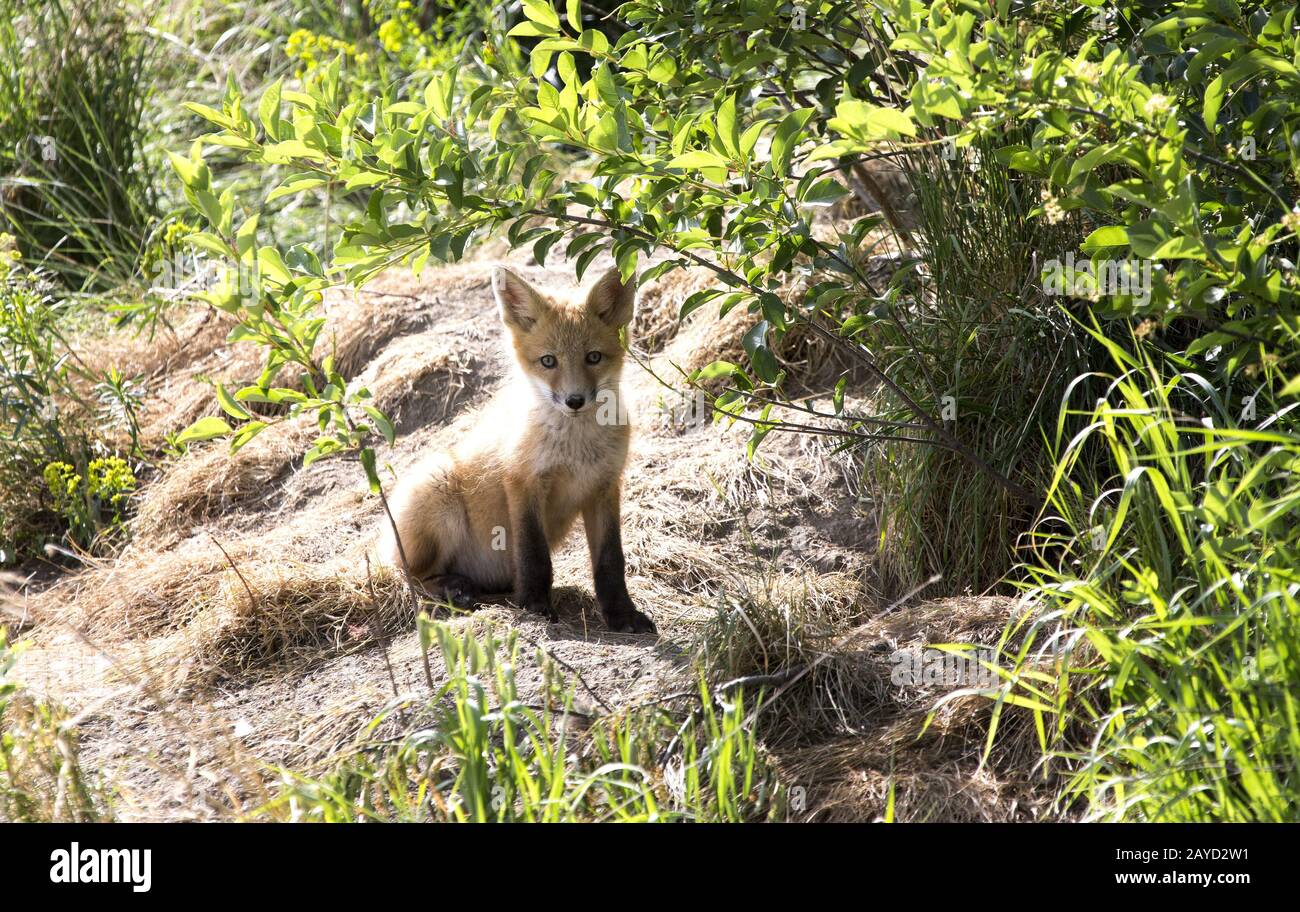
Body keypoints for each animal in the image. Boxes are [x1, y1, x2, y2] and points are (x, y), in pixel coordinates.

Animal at [378, 265, 656, 634]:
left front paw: (622, 615)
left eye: (593, 357)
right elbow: (534, 556)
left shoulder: (605, 487)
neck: (576, 449)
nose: (574, 401)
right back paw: (453, 589)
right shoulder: (524, 481)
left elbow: (611, 562)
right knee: (407, 578)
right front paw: (535, 607)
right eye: (548, 361)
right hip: (438, 490)